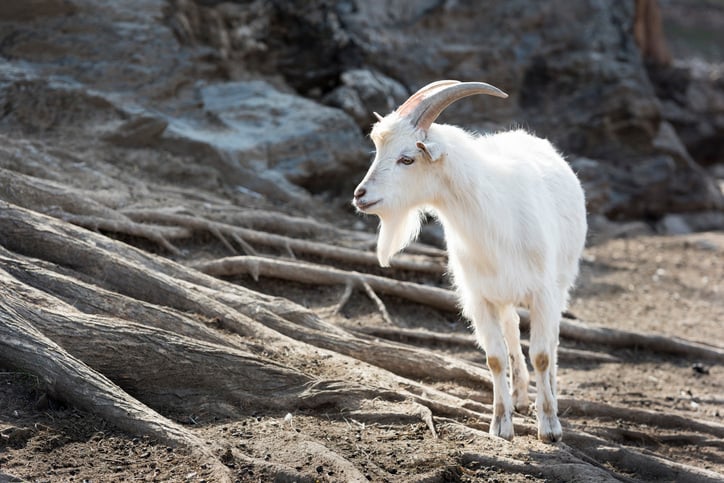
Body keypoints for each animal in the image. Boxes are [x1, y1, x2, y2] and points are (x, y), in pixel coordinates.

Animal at [352, 80, 587, 442]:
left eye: (407, 159)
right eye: (378, 150)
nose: (360, 195)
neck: (492, 214)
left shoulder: (542, 293)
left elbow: (542, 355)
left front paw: (549, 427)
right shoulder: (479, 297)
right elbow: (494, 358)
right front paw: (501, 424)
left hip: (561, 280)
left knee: (552, 340)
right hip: (503, 294)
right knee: (512, 329)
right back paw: (519, 396)